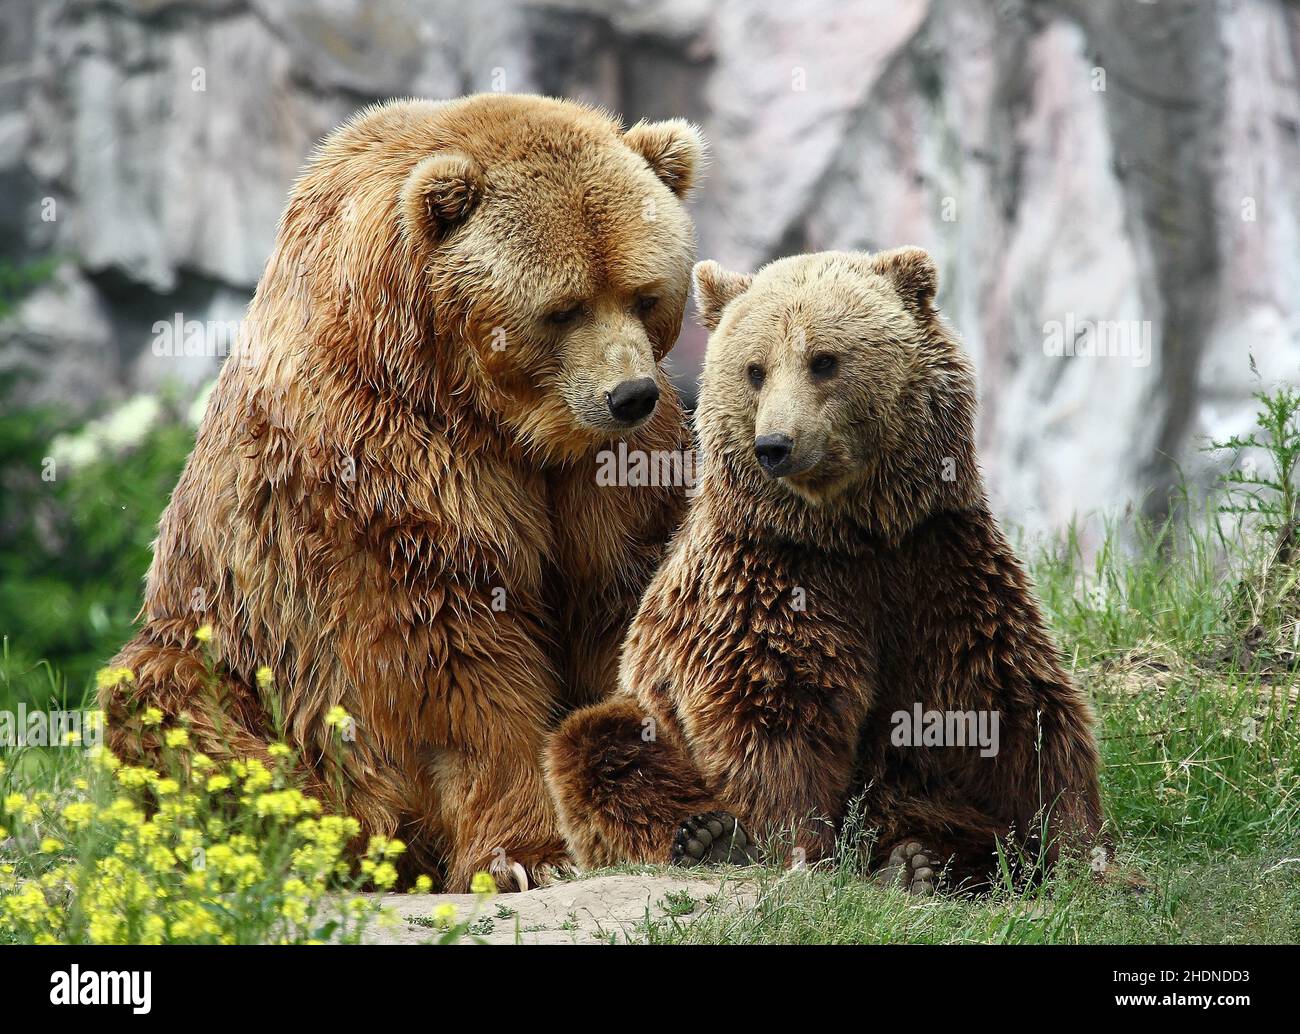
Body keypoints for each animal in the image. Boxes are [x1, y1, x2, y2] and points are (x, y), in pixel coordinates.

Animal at [100, 94, 704, 891]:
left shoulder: (607, 476)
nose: (628, 393)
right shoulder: (382, 456)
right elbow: (453, 654)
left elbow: (621, 598)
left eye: (644, 295)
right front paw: (527, 856)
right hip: (236, 656)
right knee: (165, 699)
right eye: (564, 307)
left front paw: (663, 817)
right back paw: (311, 840)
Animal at [545, 248, 1104, 893]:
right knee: (597, 745)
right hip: (643, 713)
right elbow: (773, 716)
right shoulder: (767, 584)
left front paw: (1084, 852)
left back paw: (921, 861)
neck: (852, 534)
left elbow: (1012, 707)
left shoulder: (941, 566)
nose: (775, 444)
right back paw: (712, 837)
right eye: (755, 369)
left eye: (825, 361)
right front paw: (799, 850)